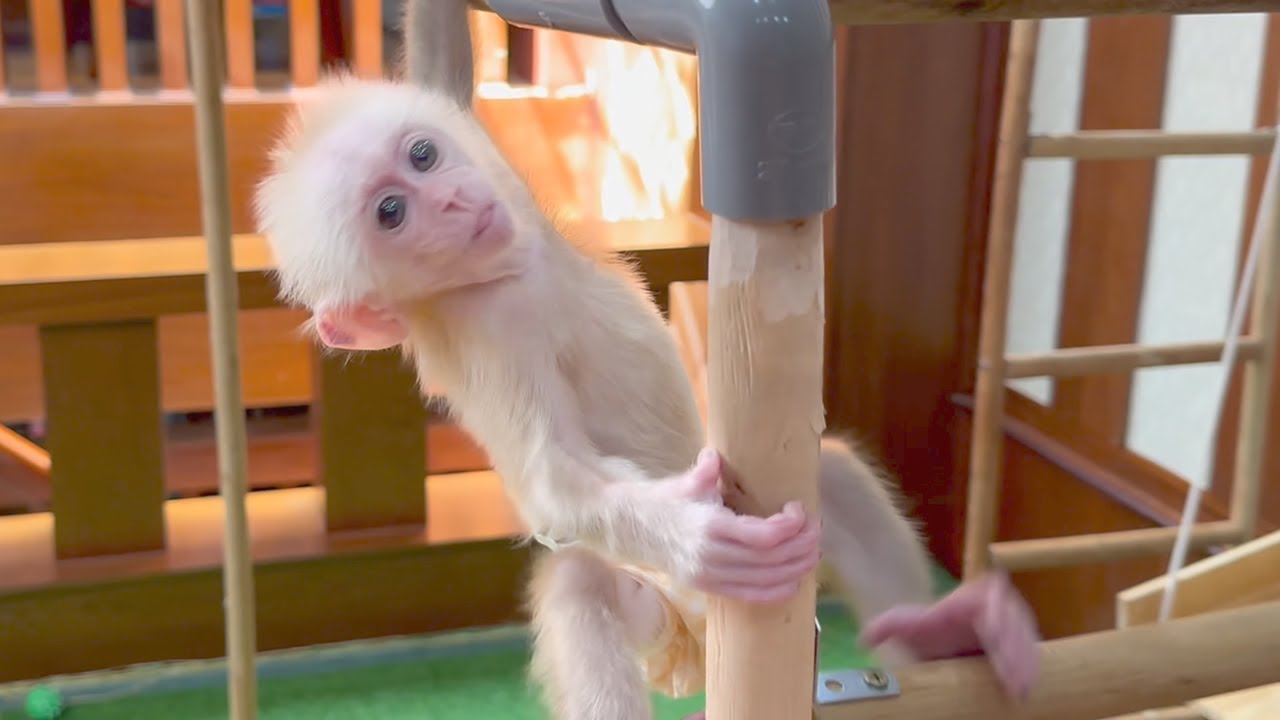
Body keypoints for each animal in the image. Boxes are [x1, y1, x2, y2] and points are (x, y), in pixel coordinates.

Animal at [250, 2, 1042, 718]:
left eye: (423, 154)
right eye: (391, 212)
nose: (448, 200)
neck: (507, 271)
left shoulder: (477, 148)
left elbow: (442, 63)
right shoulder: (491, 337)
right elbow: (554, 483)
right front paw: (696, 535)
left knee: (839, 476)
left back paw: (937, 632)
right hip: (669, 622)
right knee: (578, 585)